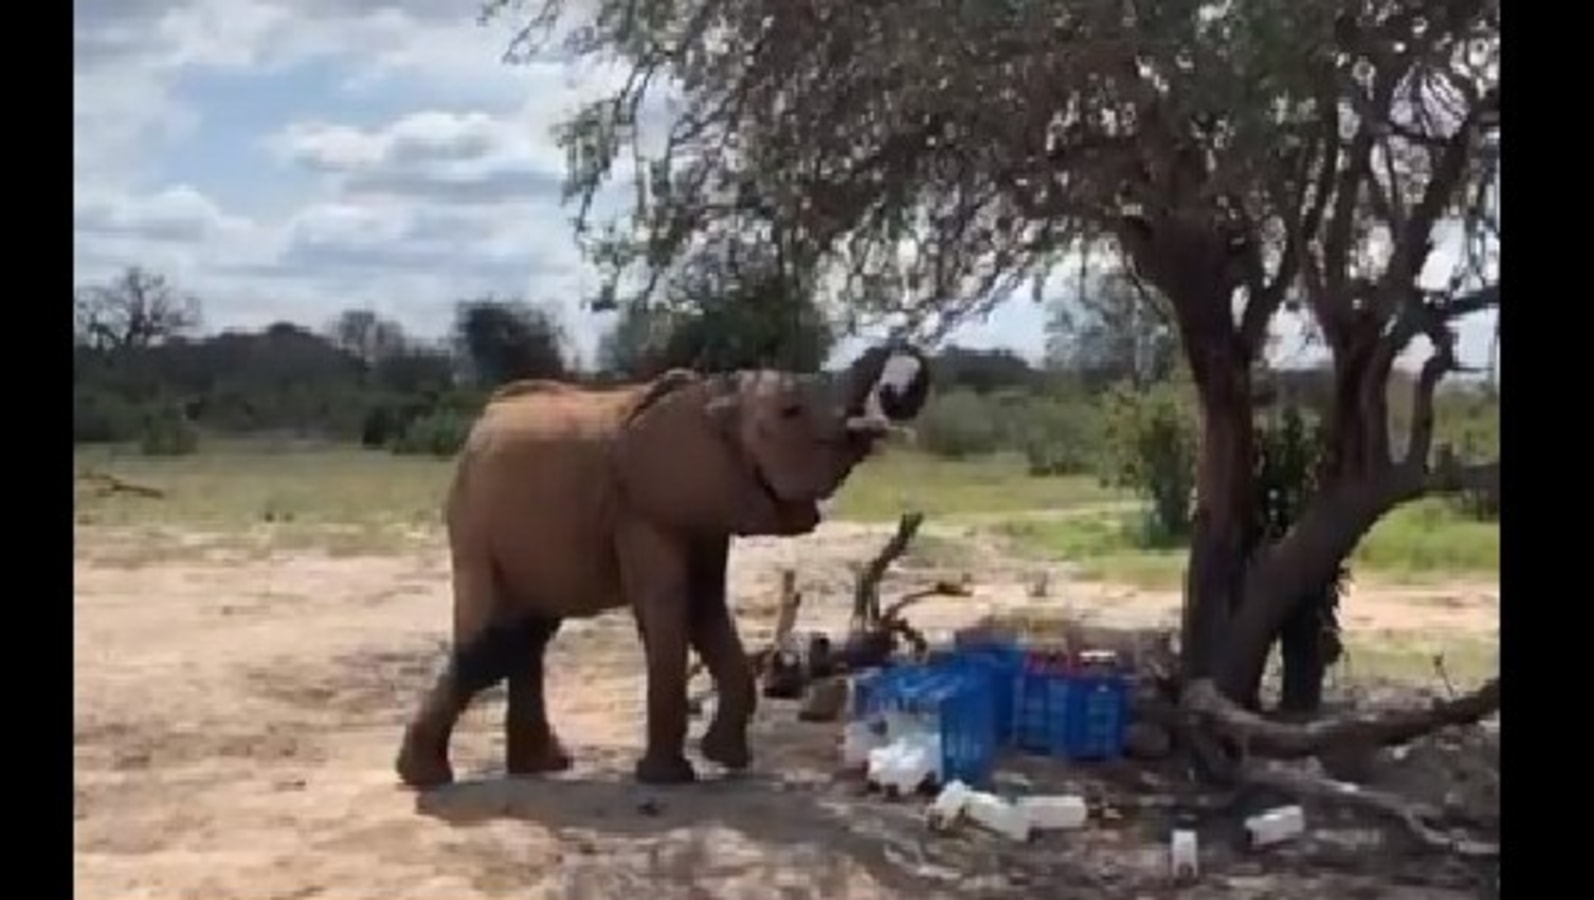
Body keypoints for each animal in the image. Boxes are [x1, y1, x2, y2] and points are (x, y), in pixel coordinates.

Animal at [394, 346, 931, 788]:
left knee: (526, 636)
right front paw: (669, 779)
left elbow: (707, 605)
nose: (894, 387)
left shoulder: (709, 502)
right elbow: (671, 603)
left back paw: (539, 767)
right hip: (472, 524)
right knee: (492, 631)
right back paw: (431, 777)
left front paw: (726, 760)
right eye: (790, 411)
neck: (715, 393)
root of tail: (479, 425)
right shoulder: (641, 508)